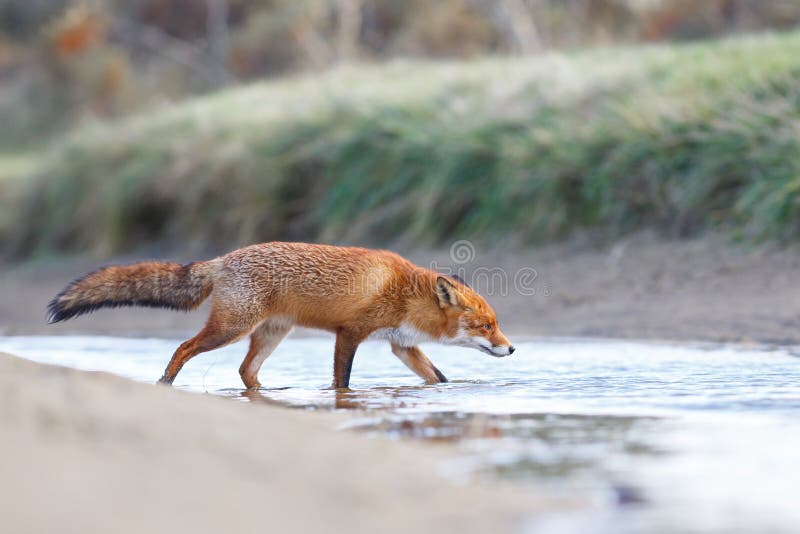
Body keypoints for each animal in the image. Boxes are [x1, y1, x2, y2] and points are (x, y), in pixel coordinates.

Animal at [48, 242, 515, 389]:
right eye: (487, 326)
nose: (511, 349)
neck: (403, 292)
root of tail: (221, 260)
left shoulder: (403, 347)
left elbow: (438, 377)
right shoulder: (349, 333)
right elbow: (342, 381)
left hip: (271, 335)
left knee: (246, 371)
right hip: (230, 329)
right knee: (183, 347)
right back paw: (165, 382)